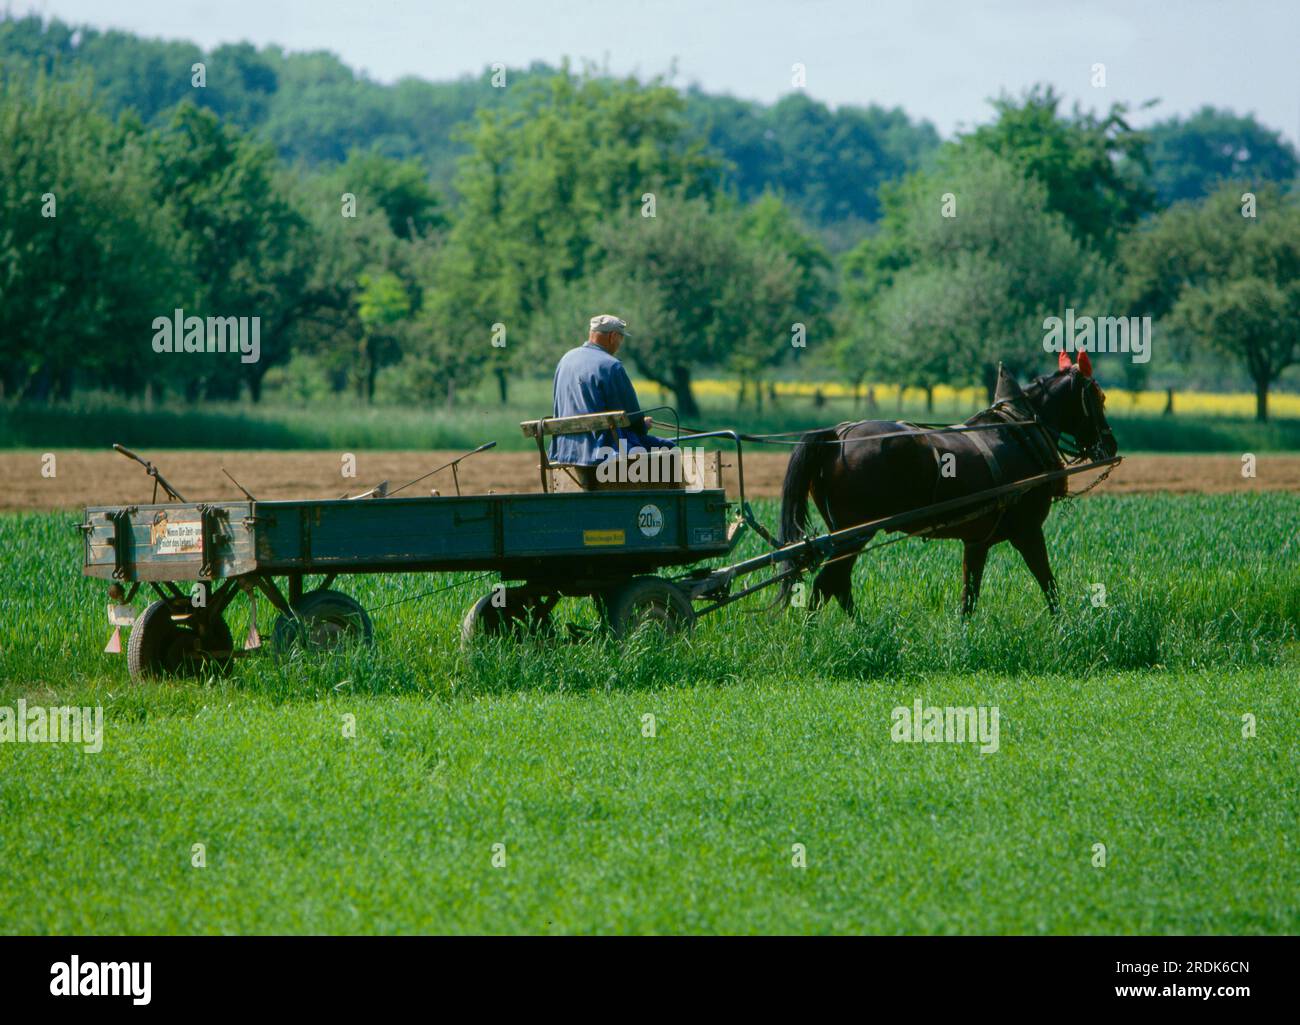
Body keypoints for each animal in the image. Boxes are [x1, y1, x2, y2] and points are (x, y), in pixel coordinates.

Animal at [777, 352, 1118, 615]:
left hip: (847, 535)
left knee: (838, 585)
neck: (1019, 432)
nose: (1111, 445)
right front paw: (1065, 629)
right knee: (827, 585)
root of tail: (837, 435)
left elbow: (970, 595)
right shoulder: (1028, 531)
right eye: (1099, 397)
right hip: (854, 534)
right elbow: (1048, 583)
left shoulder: (977, 541)